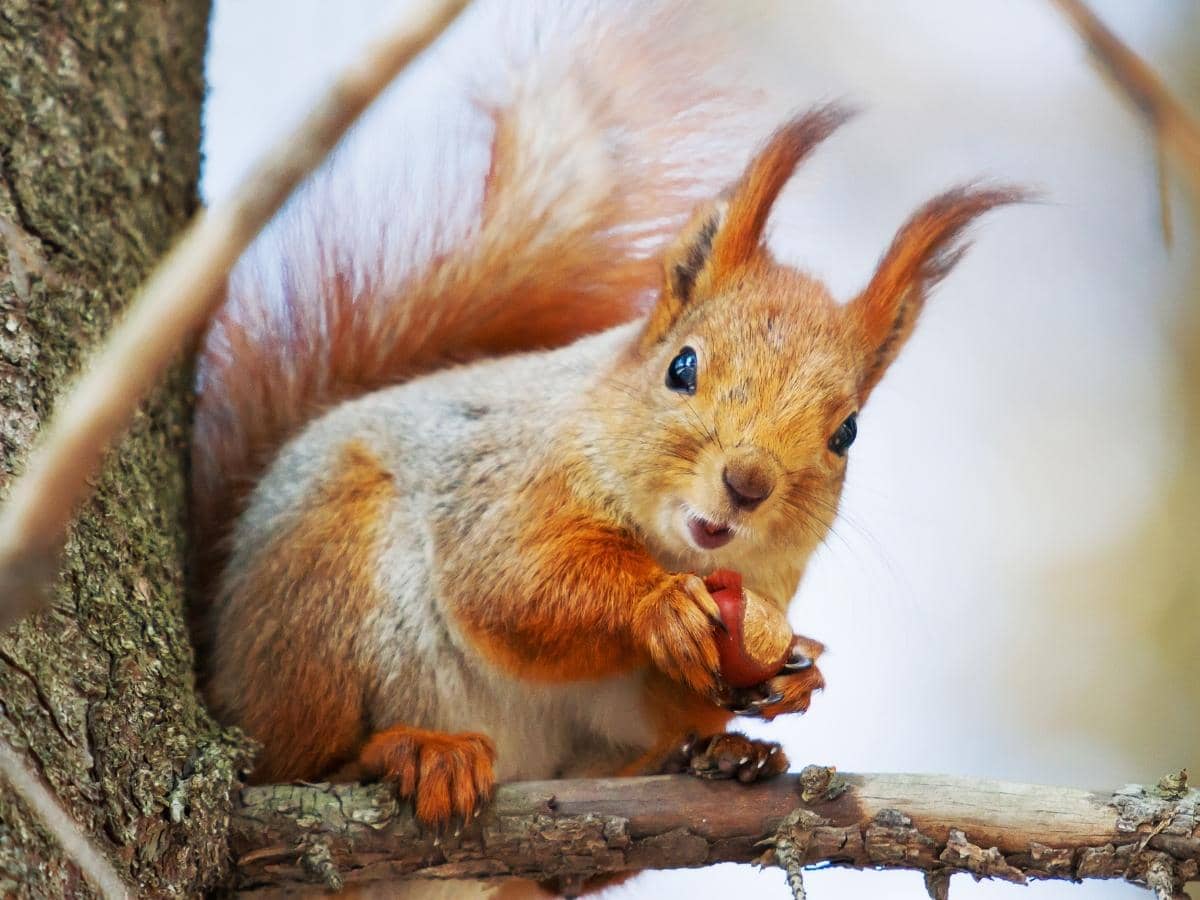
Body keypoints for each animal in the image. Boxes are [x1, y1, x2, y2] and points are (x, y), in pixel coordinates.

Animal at [191, 1, 1020, 868]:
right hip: (321, 589)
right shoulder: (505, 486)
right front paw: (657, 607)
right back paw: (413, 753)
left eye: (848, 432)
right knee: (299, 758)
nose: (748, 483)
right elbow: (514, 584)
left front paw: (796, 675)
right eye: (682, 367)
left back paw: (719, 758)